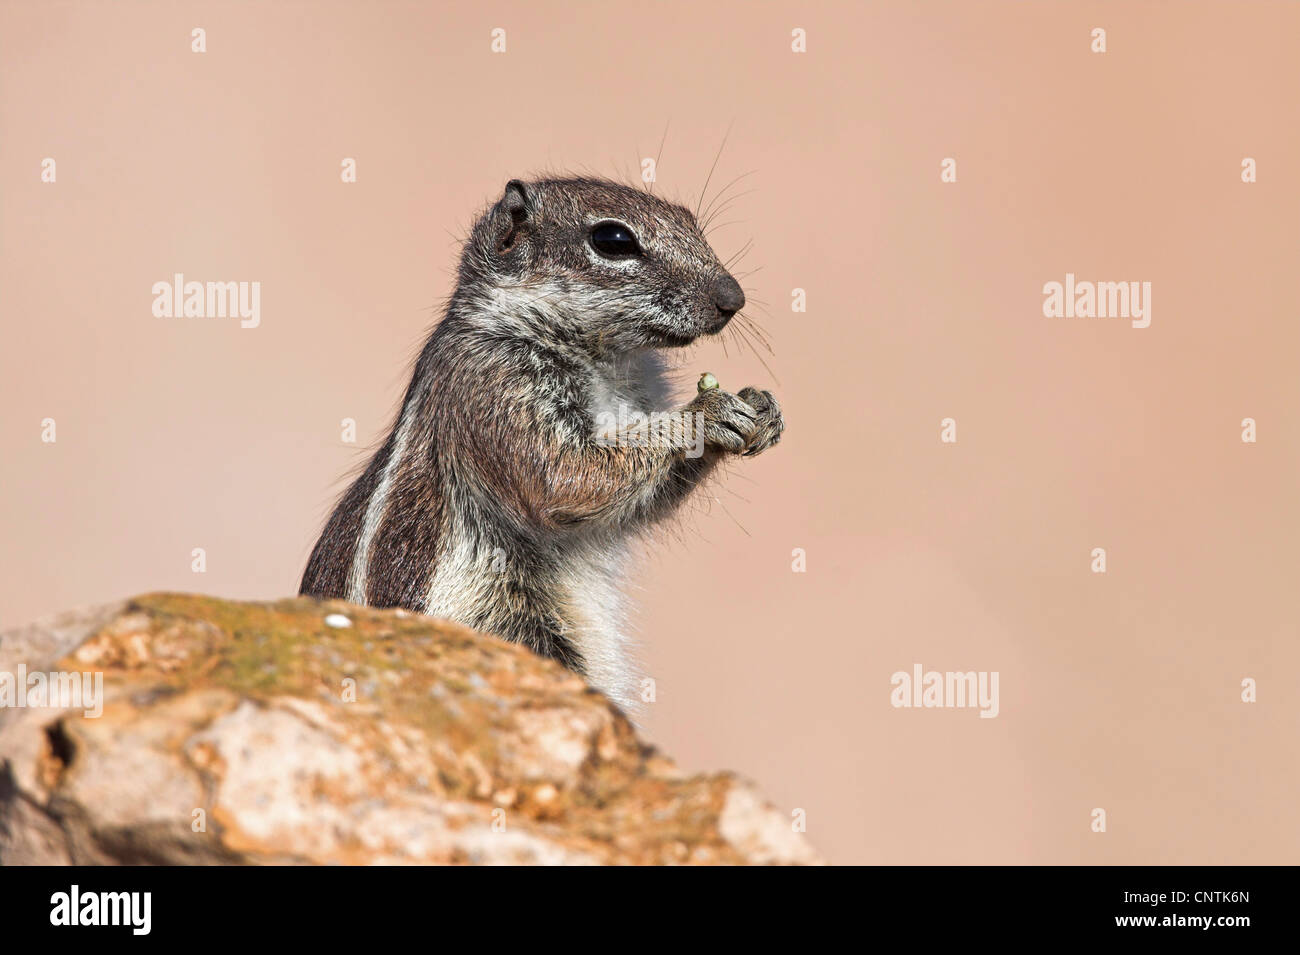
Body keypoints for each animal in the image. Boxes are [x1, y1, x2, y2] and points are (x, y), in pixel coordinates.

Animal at [299, 177, 784, 710]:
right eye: (613, 240)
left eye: (690, 220)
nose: (732, 298)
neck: (604, 361)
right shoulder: (494, 384)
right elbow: (565, 479)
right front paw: (707, 412)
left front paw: (760, 408)